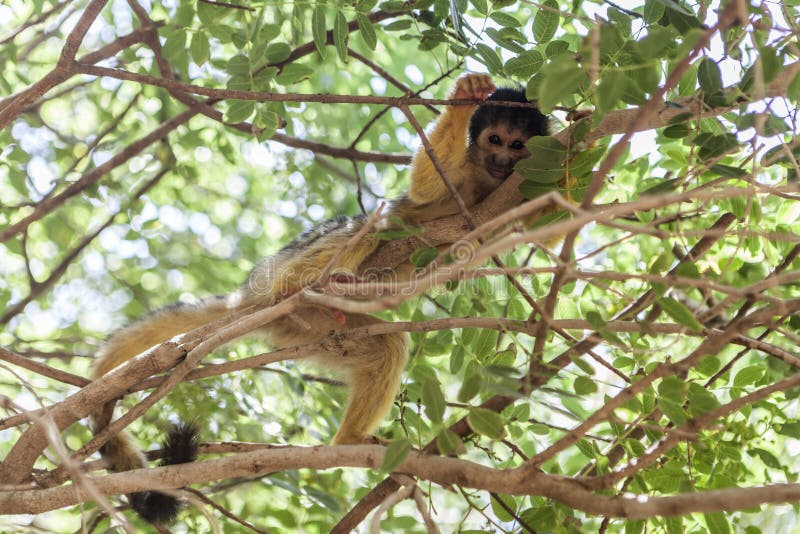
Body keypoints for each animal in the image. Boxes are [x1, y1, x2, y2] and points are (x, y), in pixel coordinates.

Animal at [89, 73, 549, 524]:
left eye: (517, 145)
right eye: (494, 139)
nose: (502, 160)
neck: (488, 184)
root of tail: (254, 294)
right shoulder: (461, 176)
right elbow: (423, 189)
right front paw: (464, 98)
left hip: (313, 331)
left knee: (386, 343)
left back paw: (349, 437)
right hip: (292, 274)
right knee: (374, 225)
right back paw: (300, 287)